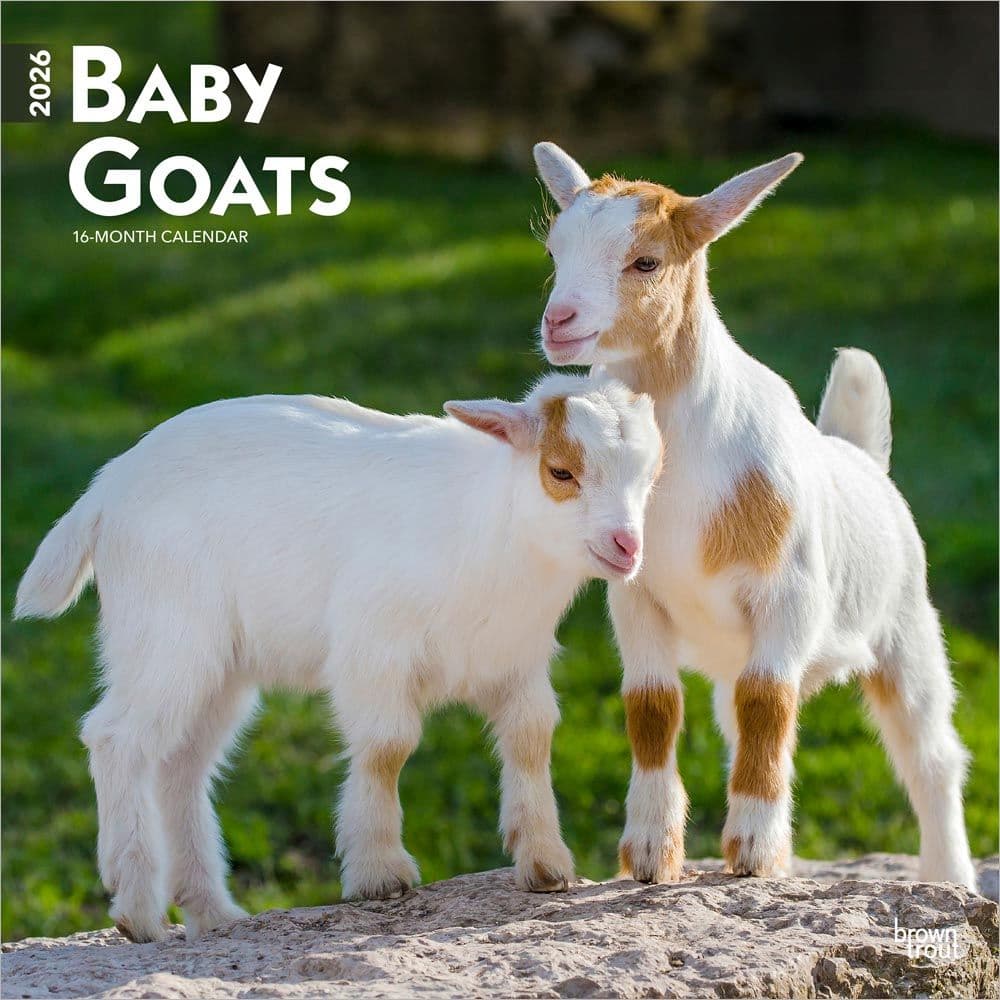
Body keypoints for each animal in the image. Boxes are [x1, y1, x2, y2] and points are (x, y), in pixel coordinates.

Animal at [15, 374, 663, 941]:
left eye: (651, 475)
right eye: (561, 471)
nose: (627, 546)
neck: (494, 527)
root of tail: (104, 493)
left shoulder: (516, 661)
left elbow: (531, 739)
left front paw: (546, 865)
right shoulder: (373, 648)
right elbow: (386, 747)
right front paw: (380, 873)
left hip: (221, 669)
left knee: (182, 764)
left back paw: (215, 914)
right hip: (167, 635)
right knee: (116, 738)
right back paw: (139, 912)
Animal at [532, 141, 977, 891]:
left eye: (646, 261)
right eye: (554, 248)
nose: (558, 322)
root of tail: (860, 455)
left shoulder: (789, 593)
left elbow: (769, 701)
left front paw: (752, 854)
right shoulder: (635, 595)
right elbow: (653, 706)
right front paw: (650, 854)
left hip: (908, 628)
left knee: (929, 755)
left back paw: (950, 879)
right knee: (741, 721)